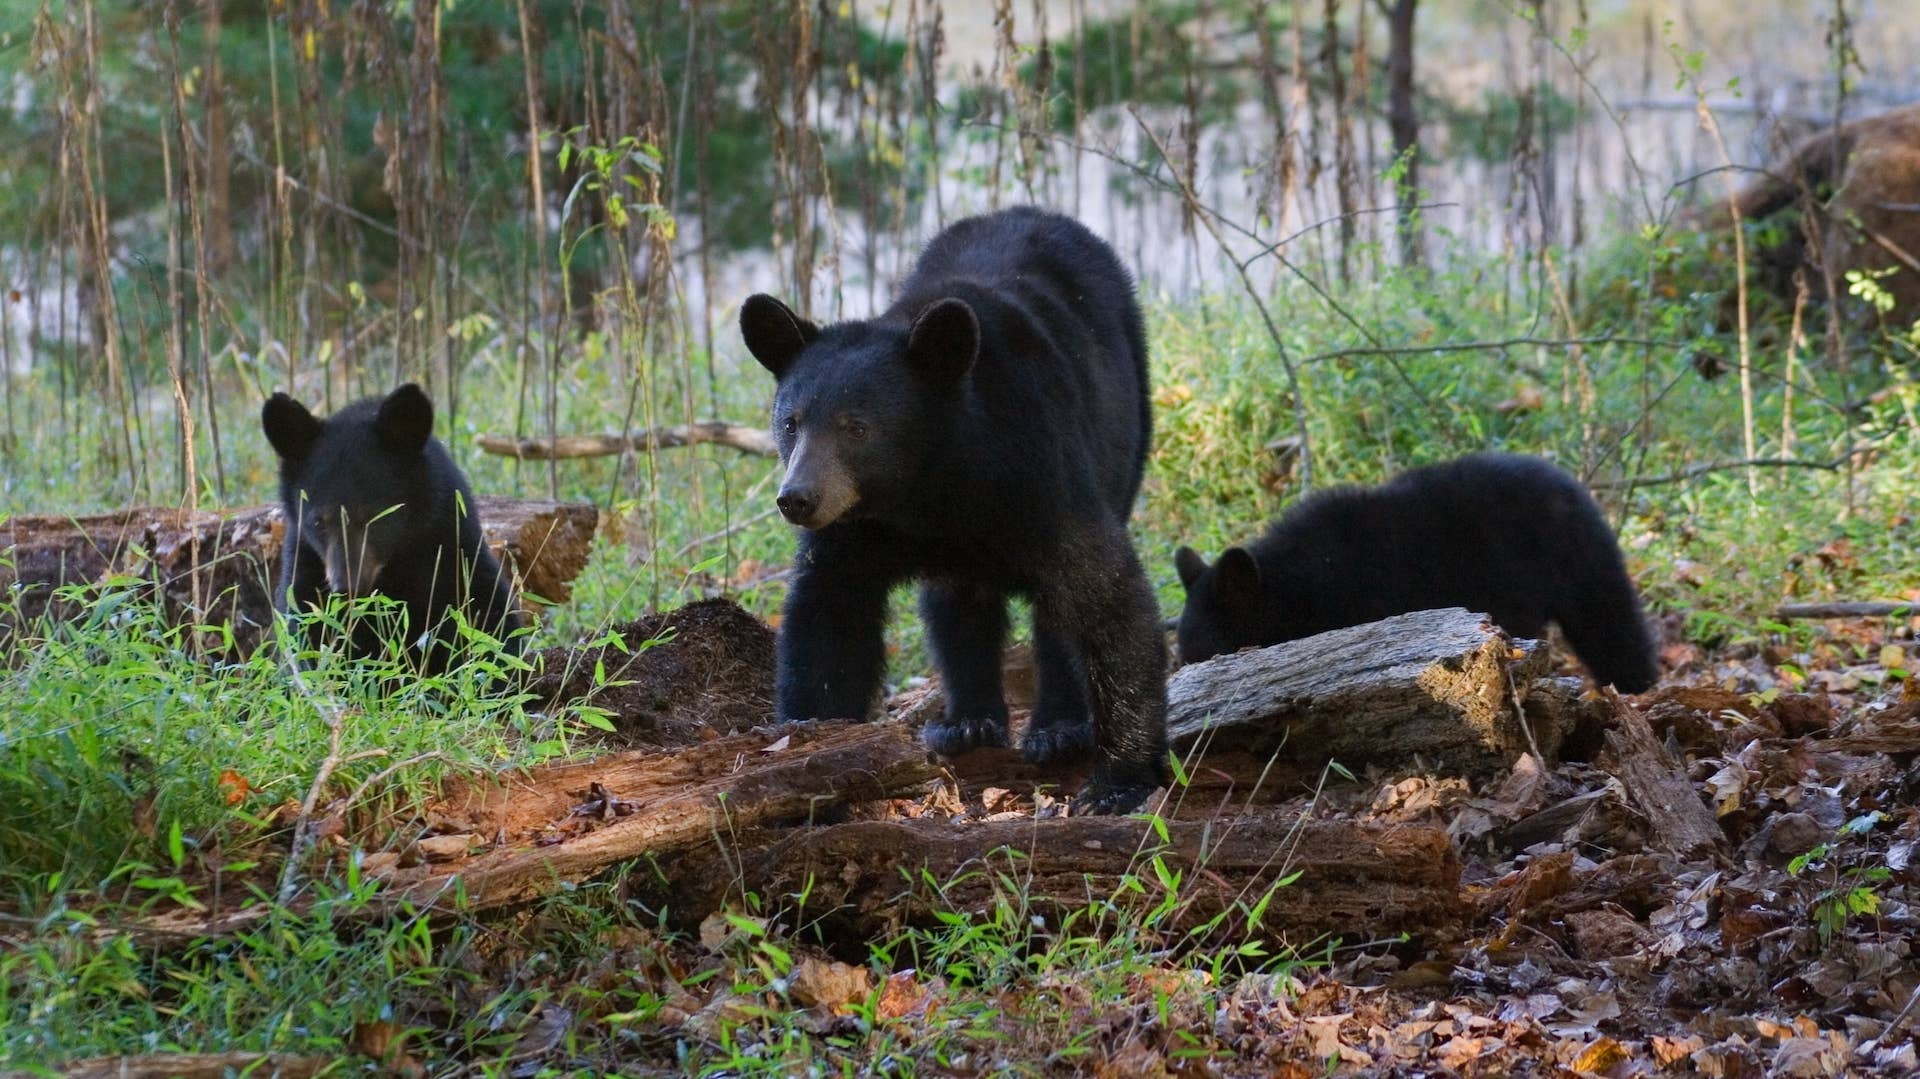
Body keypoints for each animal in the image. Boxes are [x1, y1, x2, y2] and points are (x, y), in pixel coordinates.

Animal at [260, 382, 525, 676]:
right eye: (318, 521)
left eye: (376, 516)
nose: (346, 587)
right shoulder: (306, 560)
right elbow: (307, 624)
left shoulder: (449, 545)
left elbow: (485, 615)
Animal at [738, 206, 1169, 815]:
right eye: (790, 422)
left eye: (855, 427)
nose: (797, 498)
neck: (929, 485)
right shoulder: (856, 529)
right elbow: (828, 616)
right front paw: (807, 759)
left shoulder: (1039, 468)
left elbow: (1104, 593)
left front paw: (1115, 783)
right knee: (955, 604)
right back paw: (967, 723)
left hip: (1127, 426)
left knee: (1055, 611)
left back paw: (1057, 728)